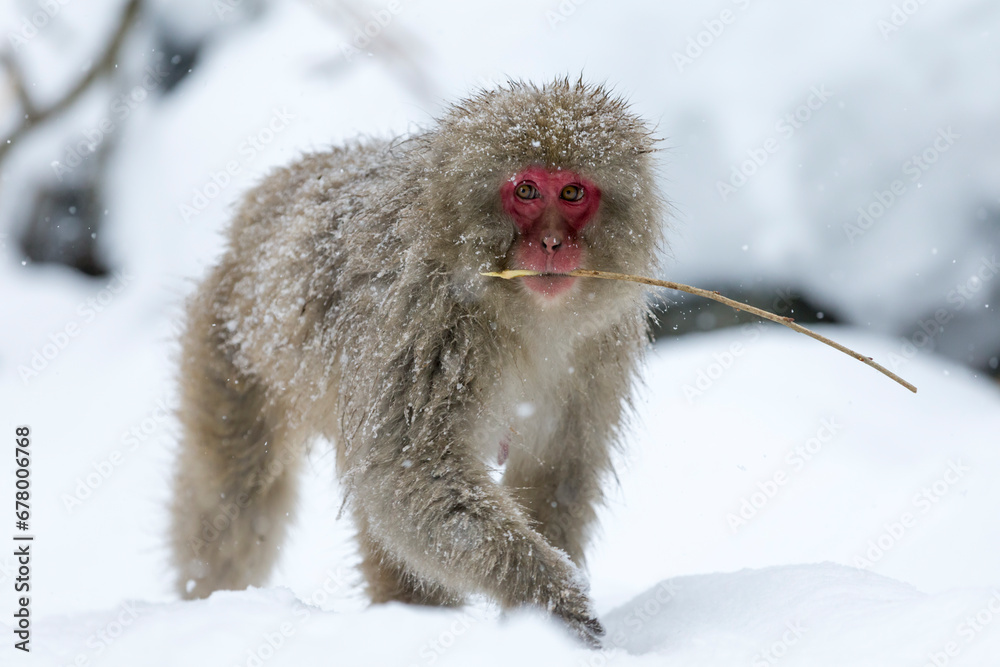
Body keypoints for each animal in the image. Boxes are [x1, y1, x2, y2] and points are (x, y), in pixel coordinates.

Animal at [169, 78, 664, 644]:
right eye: (526, 192)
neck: (519, 311)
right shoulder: (426, 321)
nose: (552, 242)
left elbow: (559, 469)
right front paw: (553, 598)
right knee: (235, 503)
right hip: (227, 353)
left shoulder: (601, 344)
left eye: (573, 193)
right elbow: (408, 472)